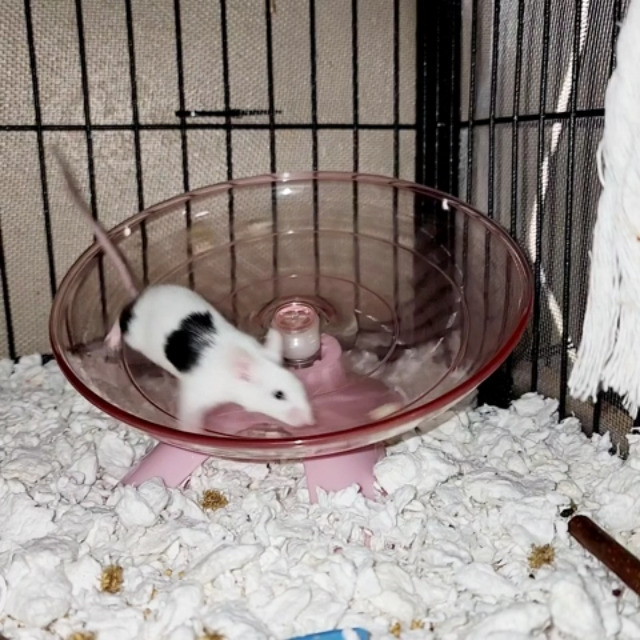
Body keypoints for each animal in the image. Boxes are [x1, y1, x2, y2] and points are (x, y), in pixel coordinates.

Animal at [55, 149, 314, 430]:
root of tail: (142, 295)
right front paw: (192, 430)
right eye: (278, 395)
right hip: (133, 331)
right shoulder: (199, 392)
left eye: (300, 386)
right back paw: (112, 340)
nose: (311, 422)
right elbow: (190, 413)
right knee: (119, 317)